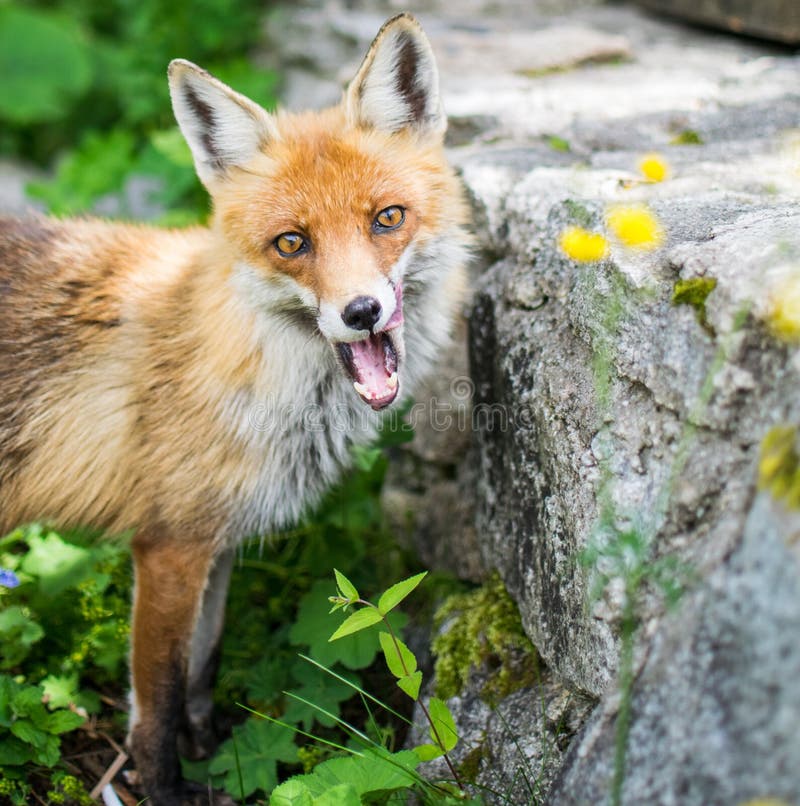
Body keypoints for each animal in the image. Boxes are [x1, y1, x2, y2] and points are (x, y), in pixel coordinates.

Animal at [0, 12, 469, 806]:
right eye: (292, 242)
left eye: (387, 218)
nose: (362, 312)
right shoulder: (166, 546)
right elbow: (156, 698)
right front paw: (164, 786)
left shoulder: (215, 539)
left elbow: (203, 666)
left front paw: (212, 748)